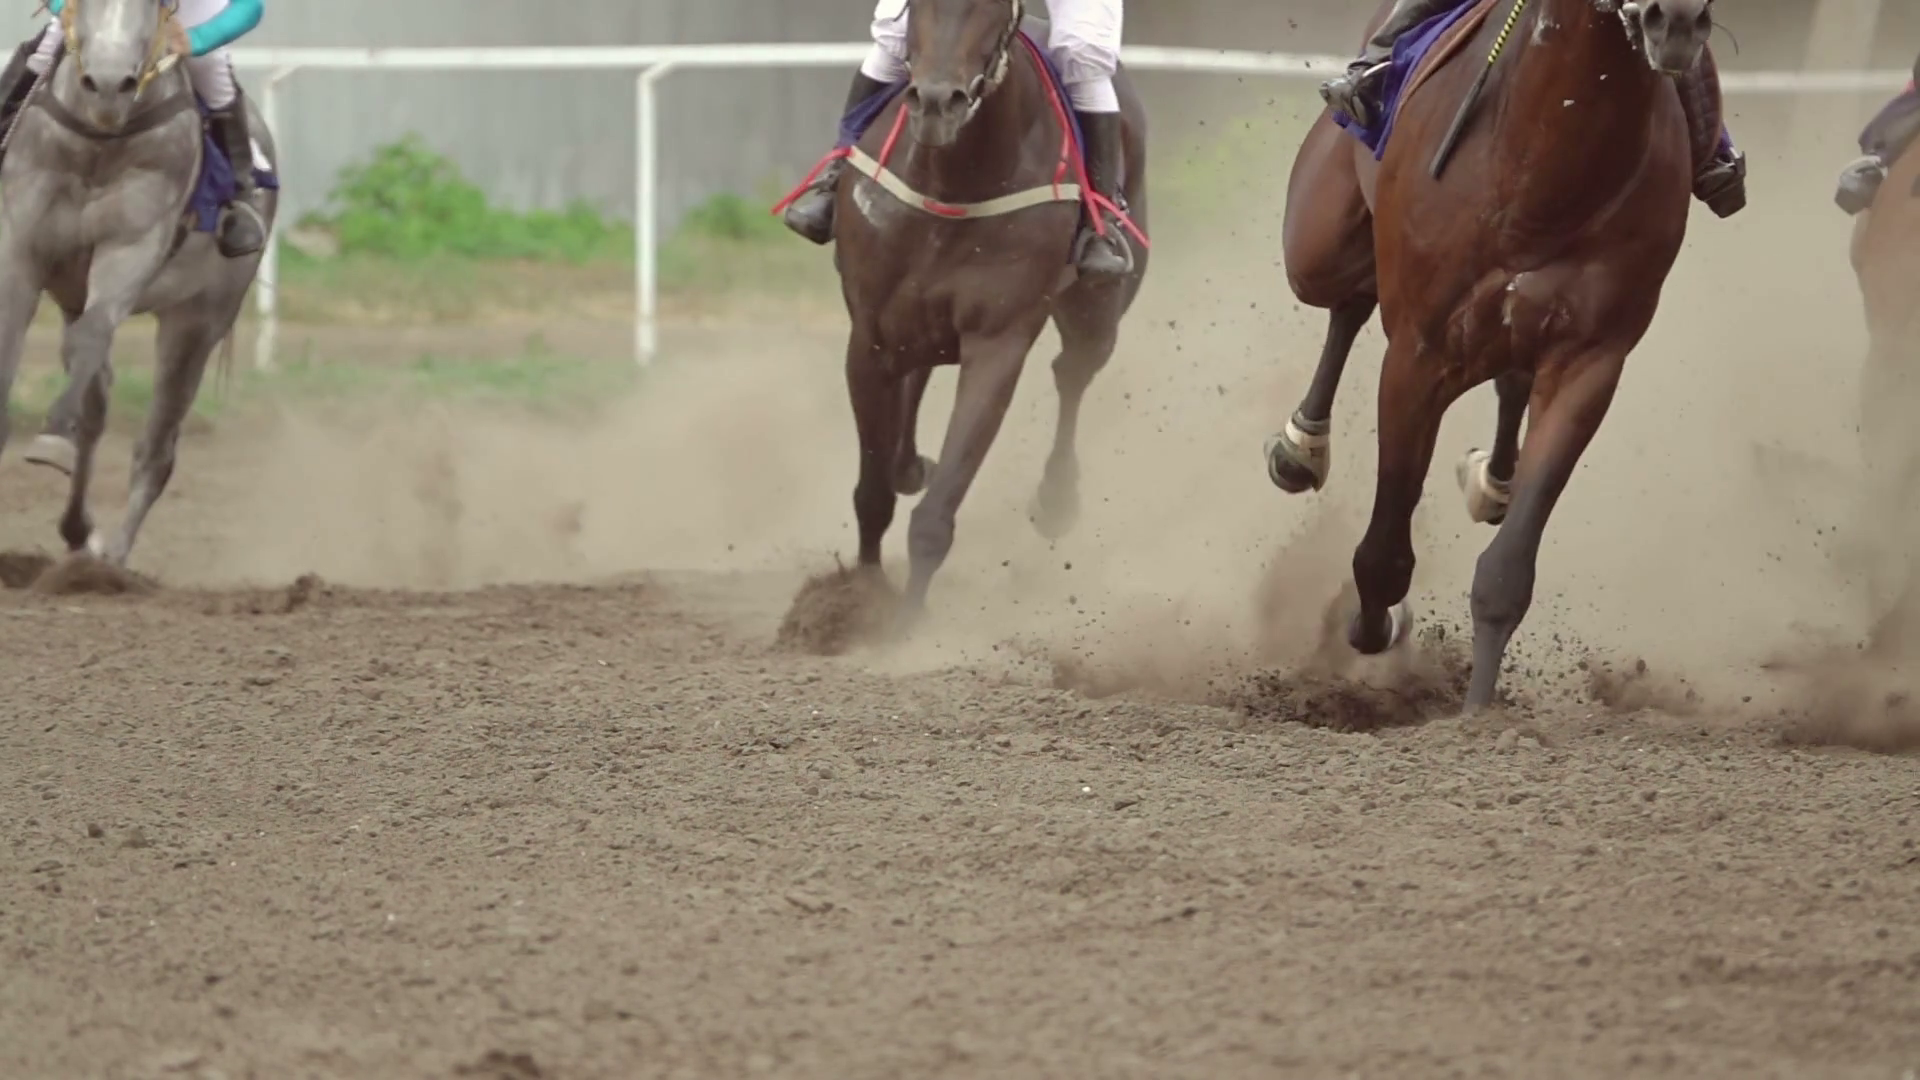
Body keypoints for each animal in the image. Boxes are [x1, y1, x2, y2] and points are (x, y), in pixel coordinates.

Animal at [0, 0, 277, 568]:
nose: (108, 86)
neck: (97, 140)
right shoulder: (19, 249)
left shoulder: (131, 249)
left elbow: (94, 337)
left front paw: (51, 439)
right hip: (74, 293)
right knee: (97, 402)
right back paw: (78, 533)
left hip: (200, 321)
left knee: (156, 448)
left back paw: (110, 560)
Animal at [806, 0, 1148, 618]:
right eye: (918, 4)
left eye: (989, 7)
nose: (936, 102)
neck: (950, 179)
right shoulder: (869, 334)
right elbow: (872, 493)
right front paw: (861, 596)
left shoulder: (998, 345)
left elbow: (935, 517)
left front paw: (903, 626)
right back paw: (910, 463)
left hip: (1097, 313)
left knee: (1072, 373)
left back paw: (1056, 497)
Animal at [1266, 0, 1718, 709]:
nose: (1674, 20)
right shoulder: (1417, 357)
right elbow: (1383, 555)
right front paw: (1377, 625)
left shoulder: (1589, 360)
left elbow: (1506, 572)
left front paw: (1478, 713)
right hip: (1314, 244)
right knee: (1348, 298)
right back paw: (1301, 445)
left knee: (1507, 379)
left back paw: (1495, 480)